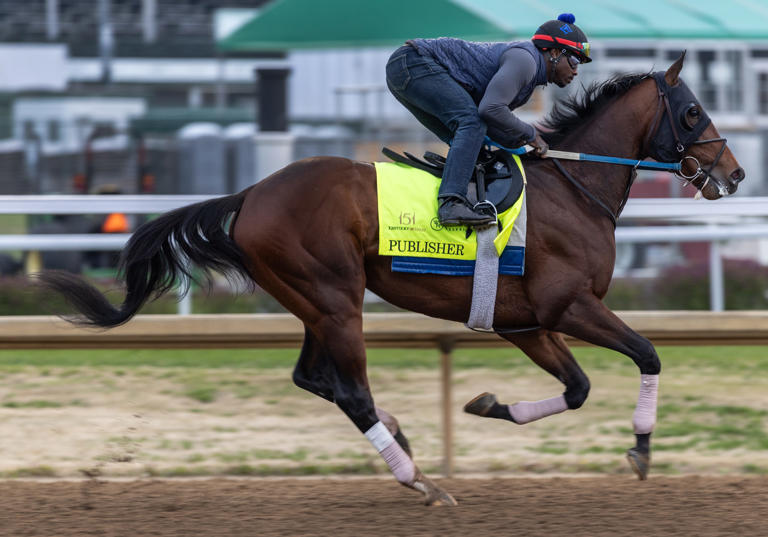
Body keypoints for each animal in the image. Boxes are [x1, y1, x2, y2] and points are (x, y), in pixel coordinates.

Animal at [39, 53, 744, 506]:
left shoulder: (524, 322)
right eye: (691, 112)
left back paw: (402, 439)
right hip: (335, 298)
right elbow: (647, 354)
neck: (574, 188)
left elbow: (577, 388)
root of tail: (251, 194)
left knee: (313, 377)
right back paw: (418, 479)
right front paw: (643, 449)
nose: (734, 174)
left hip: (316, 303)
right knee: (349, 391)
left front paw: (487, 403)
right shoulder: (569, 306)